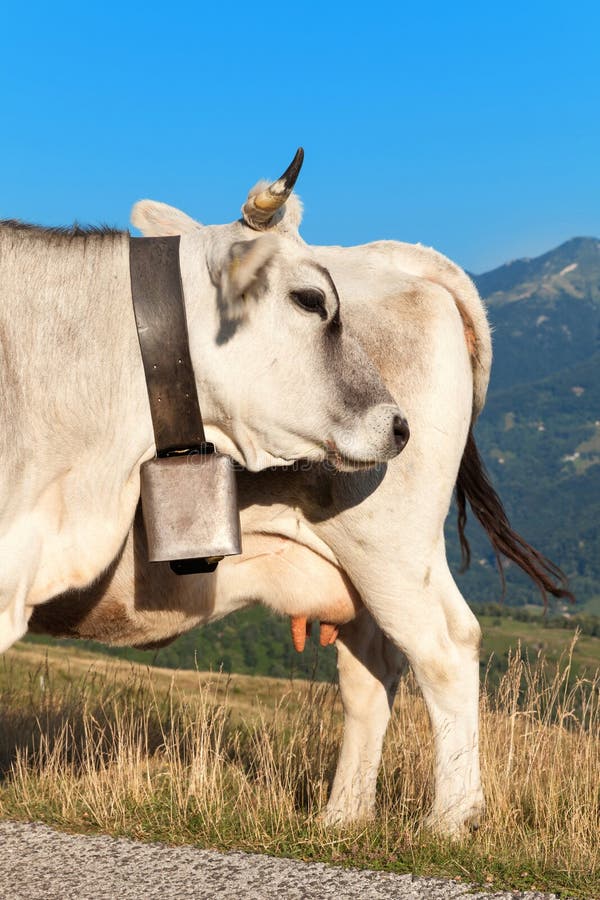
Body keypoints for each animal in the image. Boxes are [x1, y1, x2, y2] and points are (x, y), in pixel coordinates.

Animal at [26, 152, 570, 835]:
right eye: (311, 301)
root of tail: (396, 257)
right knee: (373, 667)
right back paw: (342, 817)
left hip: (388, 542)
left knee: (445, 647)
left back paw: (450, 821)